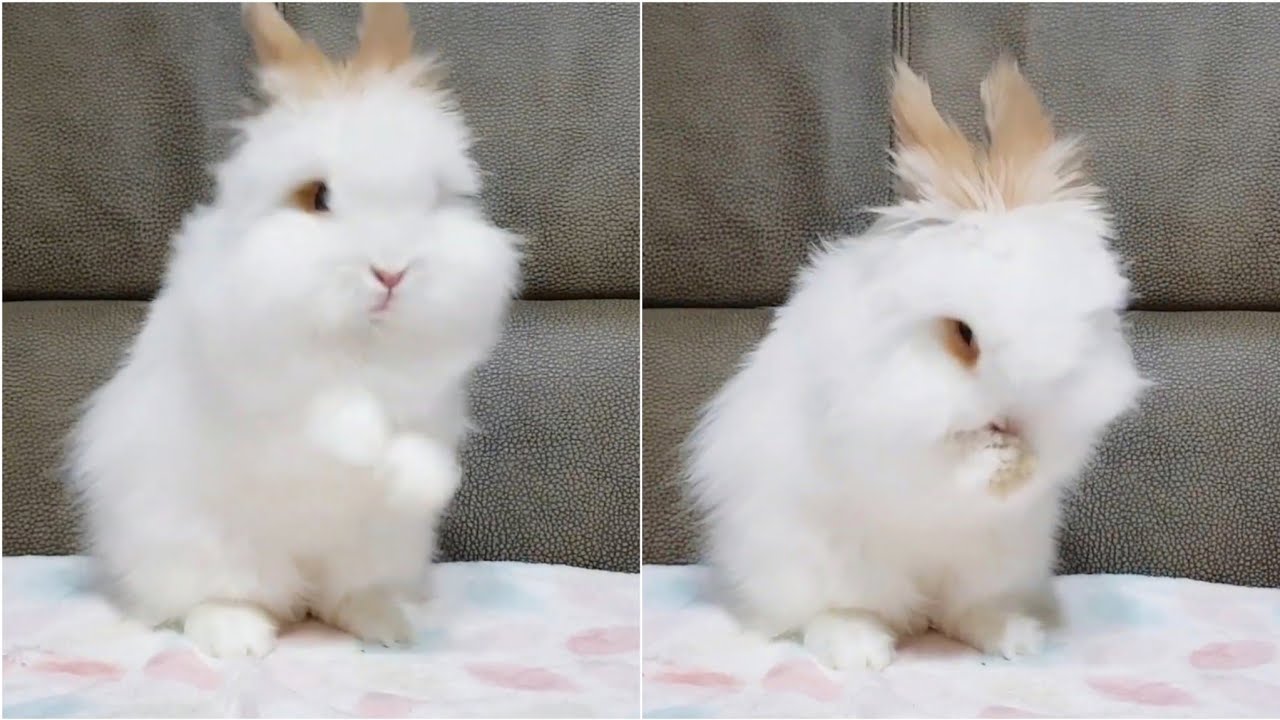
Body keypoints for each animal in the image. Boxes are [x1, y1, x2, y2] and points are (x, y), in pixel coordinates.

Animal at [67, 3, 520, 659]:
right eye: (318, 196)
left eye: (433, 196)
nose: (392, 272)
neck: (359, 344)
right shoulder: (268, 386)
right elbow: (332, 415)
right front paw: (369, 447)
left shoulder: (425, 395)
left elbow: (414, 442)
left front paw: (422, 482)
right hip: (190, 540)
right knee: (211, 598)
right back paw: (238, 635)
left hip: (376, 549)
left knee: (335, 599)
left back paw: (385, 624)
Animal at [686, 58, 1146, 671]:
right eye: (964, 332)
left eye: (1075, 323)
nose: (1017, 418)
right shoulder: (884, 436)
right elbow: (941, 467)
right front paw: (994, 460)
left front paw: (1022, 465)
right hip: (809, 563)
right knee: (830, 613)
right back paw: (859, 648)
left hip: (998, 562)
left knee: (957, 613)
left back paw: (1012, 636)